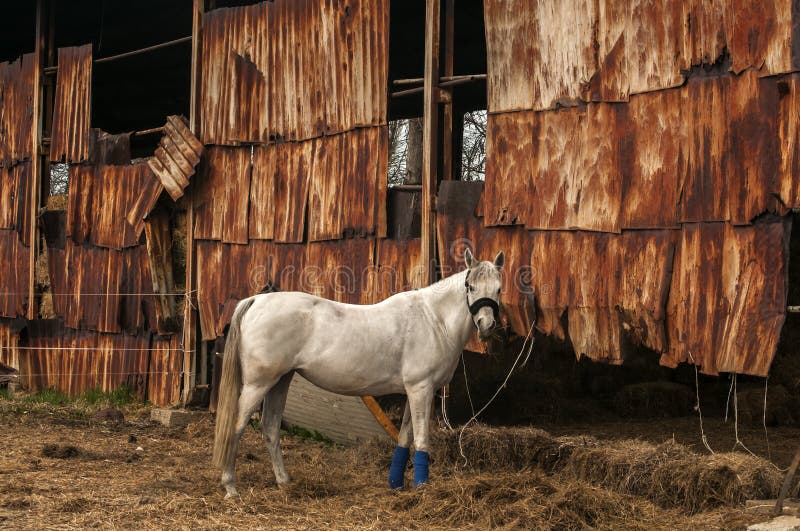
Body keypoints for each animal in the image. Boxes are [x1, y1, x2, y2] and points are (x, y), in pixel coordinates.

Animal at [212, 249, 504, 497]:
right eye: (470, 287)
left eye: (499, 289)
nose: (486, 326)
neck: (433, 319)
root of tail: (257, 300)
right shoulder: (421, 389)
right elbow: (421, 440)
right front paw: (422, 488)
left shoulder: (415, 390)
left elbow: (404, 437)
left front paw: (396, 484)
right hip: (258, 384)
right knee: (236, 426)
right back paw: (230, 487)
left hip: (280, 381)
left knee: (271, 428)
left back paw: (284, 482)